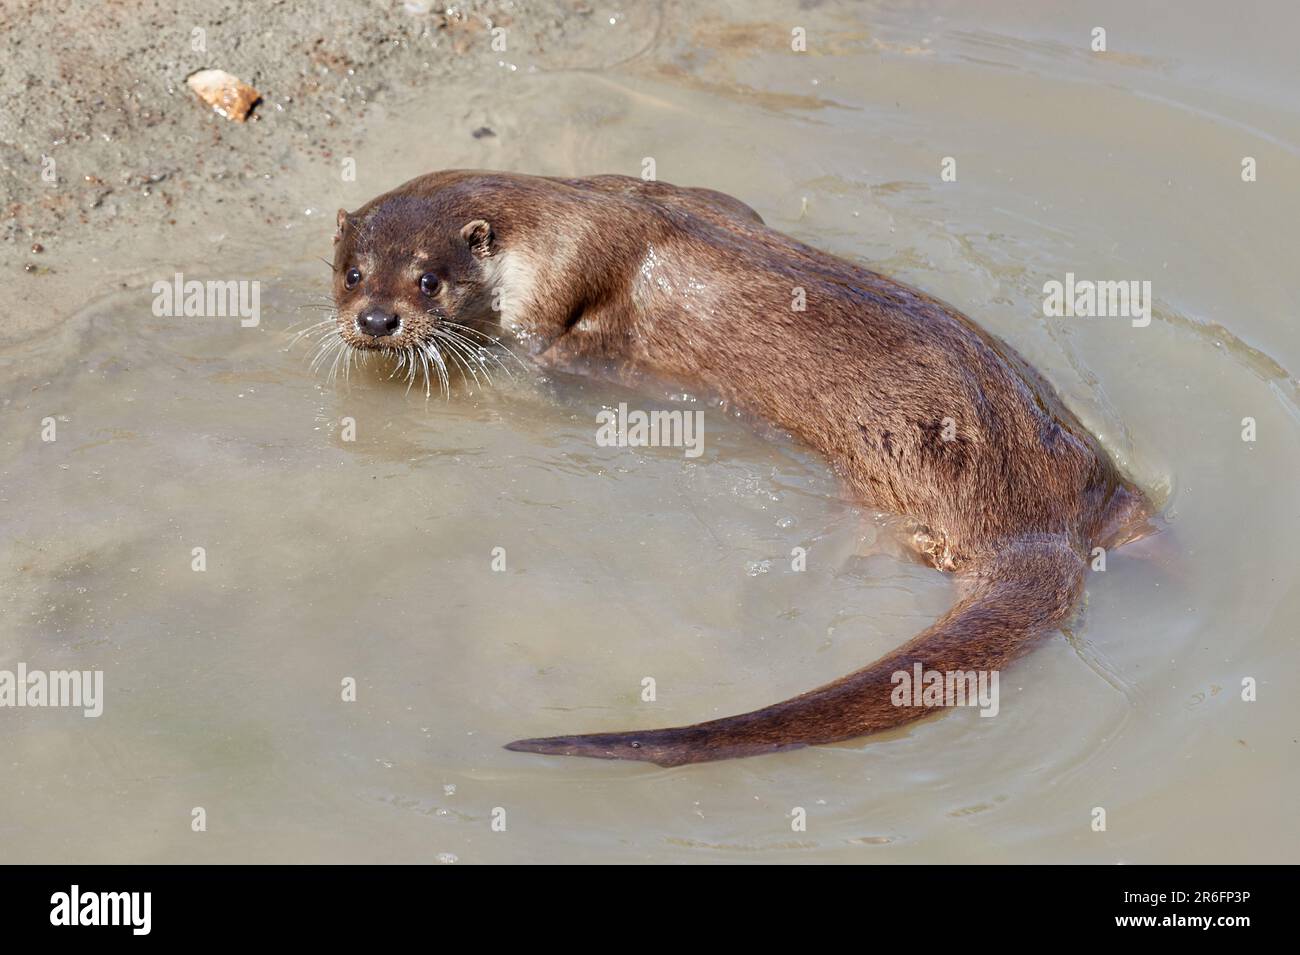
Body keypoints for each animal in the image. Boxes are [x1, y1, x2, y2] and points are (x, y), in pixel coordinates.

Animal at [328, 170, 1153, 767]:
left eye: (429, 279)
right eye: (352, 272)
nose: (376, 319)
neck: (564, 222)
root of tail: (1034, 528)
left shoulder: (567, 294)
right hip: (1096, 478)